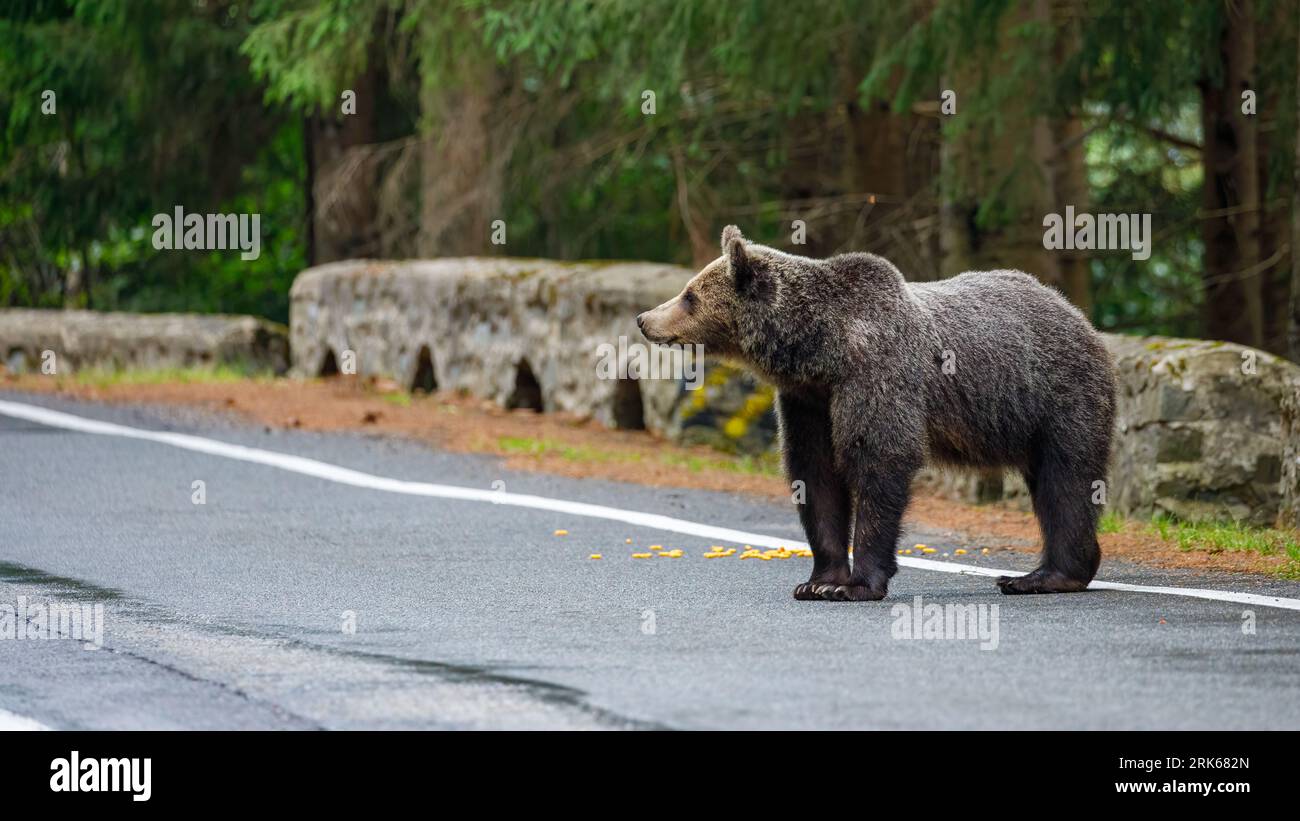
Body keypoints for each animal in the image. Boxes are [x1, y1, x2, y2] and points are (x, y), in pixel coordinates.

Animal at [637, 225, 1116, 602]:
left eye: (689, 295)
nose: (644, 318)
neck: (822, 350)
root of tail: (1077, 315)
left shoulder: (875, 375)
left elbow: (879, 460)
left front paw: (855, 584)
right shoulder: (808, 401)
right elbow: (815, 474)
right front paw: (817, 581)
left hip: (1060, 398)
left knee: (1066, 480)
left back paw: (1044, 575)